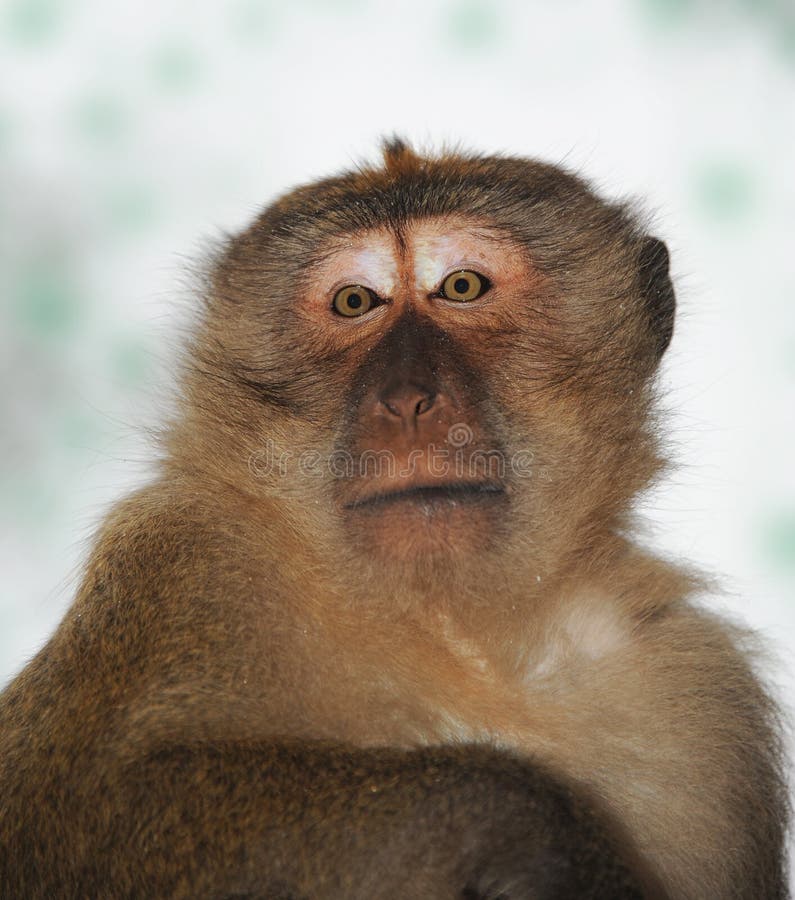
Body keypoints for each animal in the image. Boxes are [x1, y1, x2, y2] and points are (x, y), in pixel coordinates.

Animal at [0, 138, 788, 899]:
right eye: (355, 301)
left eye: (462, 286)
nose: (407, 398)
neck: (452, 625)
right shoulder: (180, 564)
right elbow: (79, 802)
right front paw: (524, 826)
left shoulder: (702, 698)